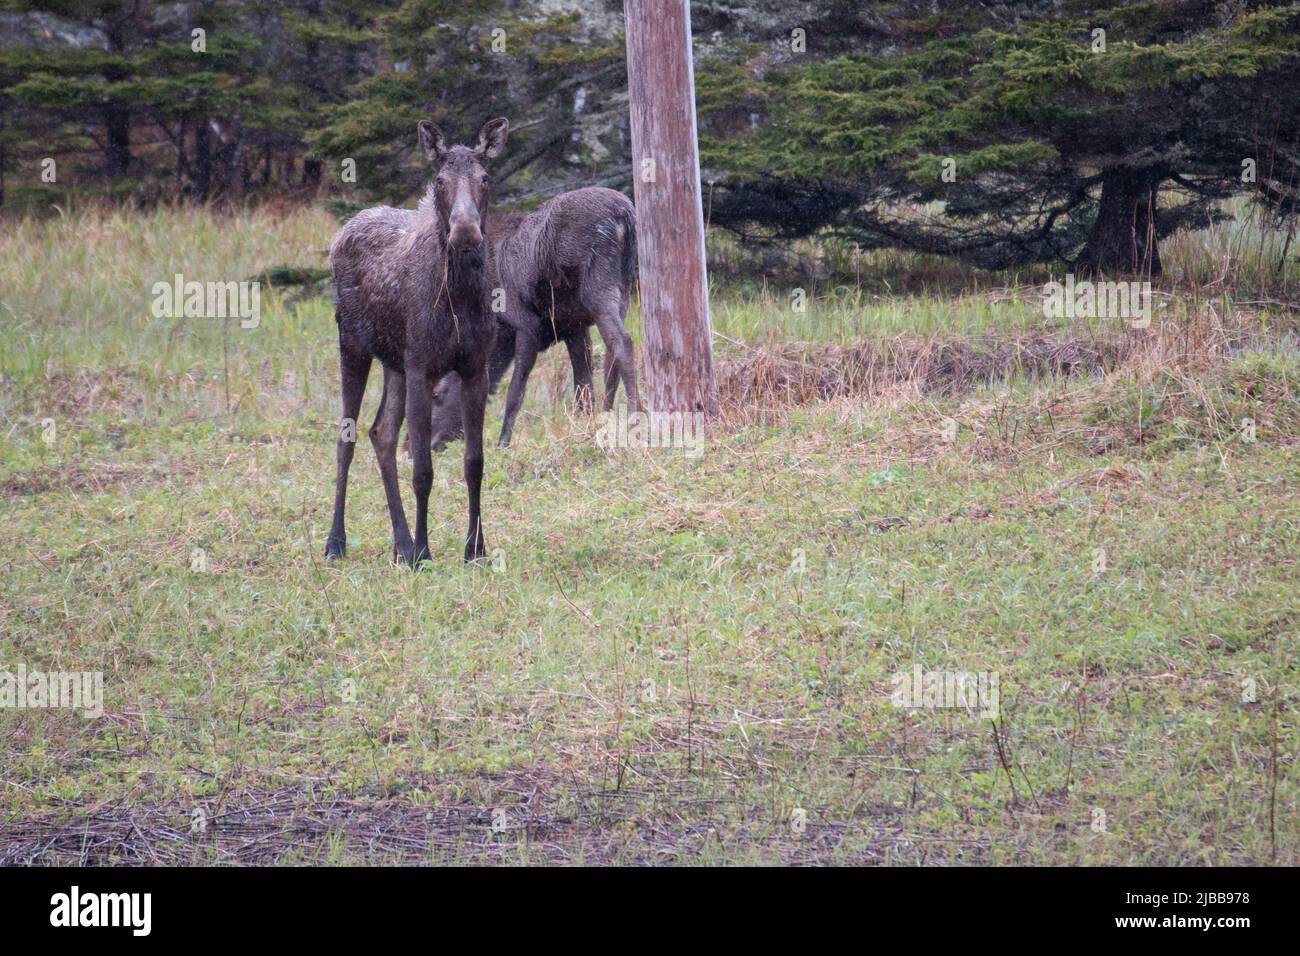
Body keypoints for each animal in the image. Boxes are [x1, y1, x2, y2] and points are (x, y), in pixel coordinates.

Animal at [325, 117, 508, 566]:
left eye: (485, 177)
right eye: (440, 180)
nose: (465, 230)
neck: (459, 295)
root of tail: (342, 232)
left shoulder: (474, 368)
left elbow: (474, 462)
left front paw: (475, 548)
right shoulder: (423, 368)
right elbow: (423, 469)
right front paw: (426, 549)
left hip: (395, 364)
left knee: (381, 434)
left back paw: (401, 544)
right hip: (353, 345)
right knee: (346, 436)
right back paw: (338, 541)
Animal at [425, 186, 642, 450]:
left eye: (437, 394)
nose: (416, 447)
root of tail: (624, 214)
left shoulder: (527, 324)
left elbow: (516, 389)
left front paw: (503, 442)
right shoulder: (574, 327)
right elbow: (583, 386)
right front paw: (585, 428)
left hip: (598, 286)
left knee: (623, 342)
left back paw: (635, 416)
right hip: (624, 287)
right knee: (611, 354)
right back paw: (608, 414)